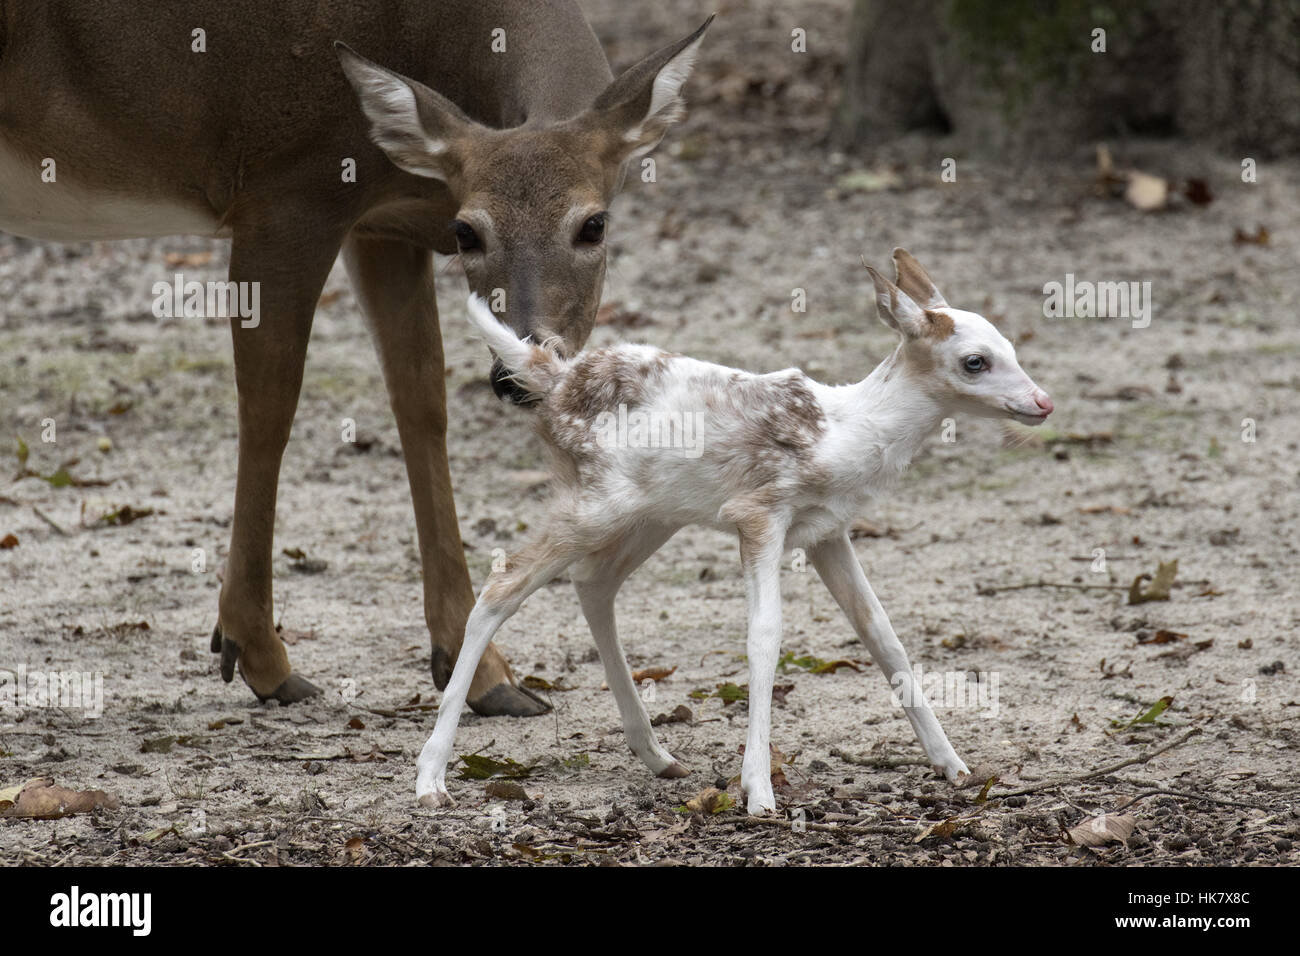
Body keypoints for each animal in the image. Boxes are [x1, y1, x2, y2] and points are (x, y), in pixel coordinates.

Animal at [0, 2, 712, 715]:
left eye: (594, 224)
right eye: (467, 231)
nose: (518, 372)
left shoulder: (380, 226)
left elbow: (421, 401)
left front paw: (487, 676)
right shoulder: (285, 190)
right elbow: (270, 405)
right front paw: (259, 653)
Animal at [415, 250, 1054, 814]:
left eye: (1011, 347)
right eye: (975, 361)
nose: (1042, 402)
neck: (846, 432)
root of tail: (553, 377)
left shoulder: (826, 531)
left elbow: (881, 633)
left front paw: (954, 765)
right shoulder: (758, 512)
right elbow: (764, 637)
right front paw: (758, 793)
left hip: (653, 512)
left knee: (593, 583)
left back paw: (658, 755)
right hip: (596, 503)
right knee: (501, 588)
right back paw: (430, 779)